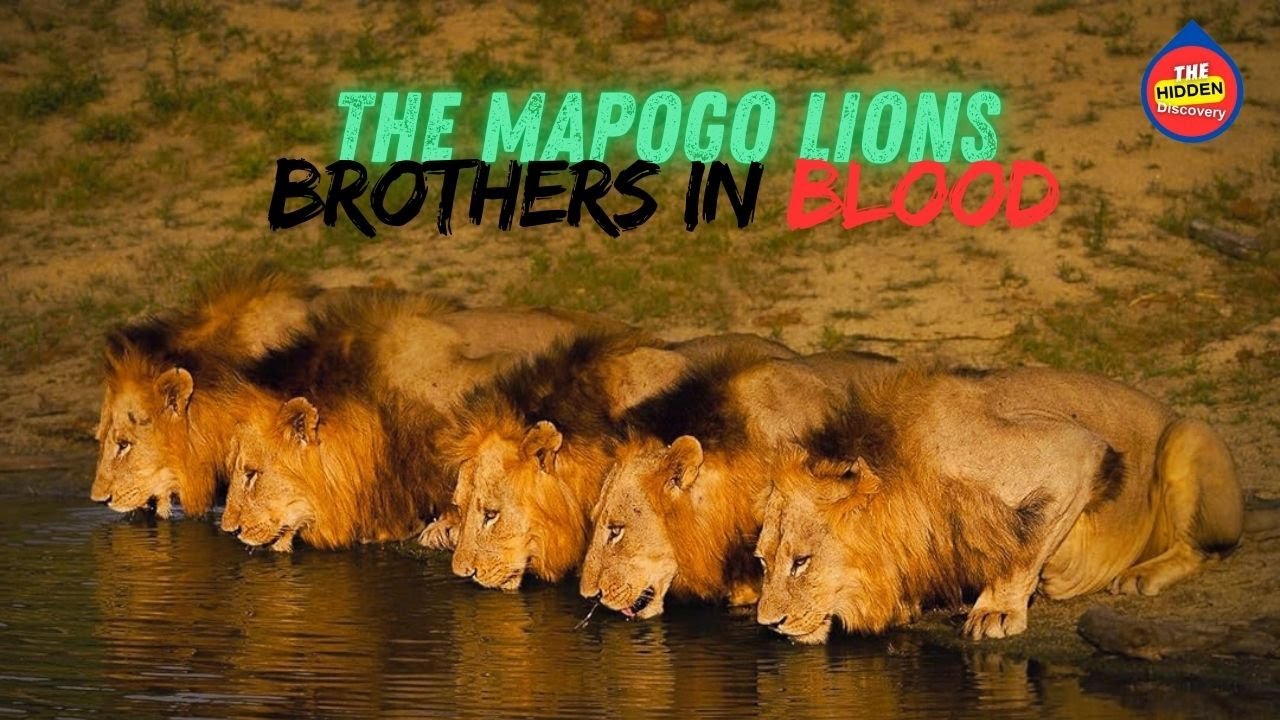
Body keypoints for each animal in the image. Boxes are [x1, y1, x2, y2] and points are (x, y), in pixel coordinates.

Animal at [753, 365, 1243, 643]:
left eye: (801, 561)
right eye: (761, 561)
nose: (768, 624)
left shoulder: (1074, 452)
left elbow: (1022, 546)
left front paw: (997, 610)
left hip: (1185, 435)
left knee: (1204, 550)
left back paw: (1140, 575)